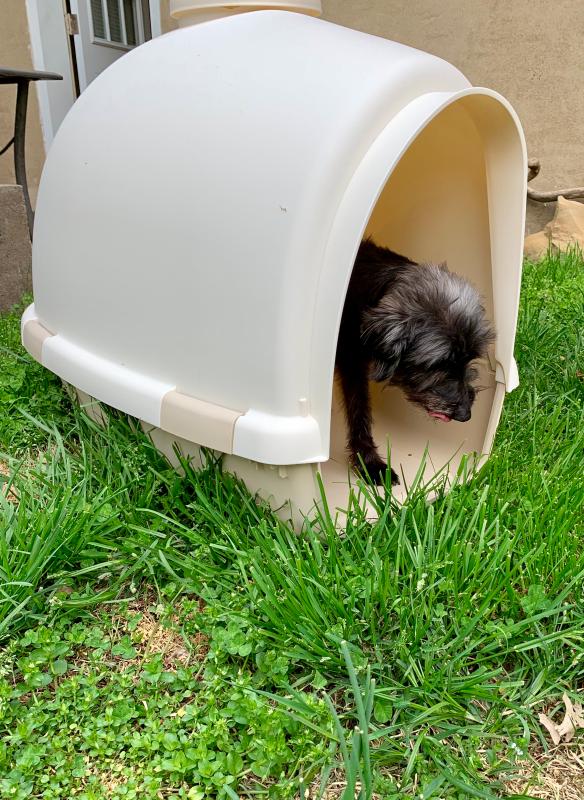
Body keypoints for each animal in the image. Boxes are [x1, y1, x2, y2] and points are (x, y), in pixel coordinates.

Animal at [336, 241, 496, 484]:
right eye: (438, 365)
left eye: (469, 358)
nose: (465, 415)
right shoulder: (351, 363)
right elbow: (359, 409)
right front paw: (370, 464)